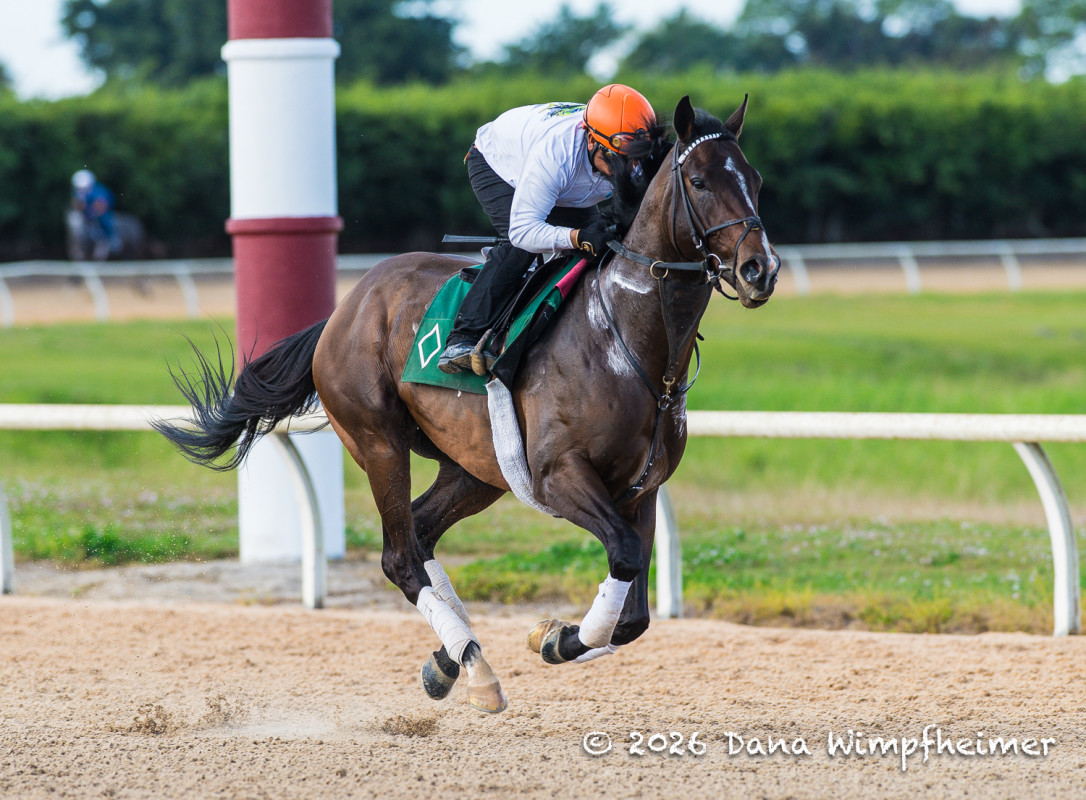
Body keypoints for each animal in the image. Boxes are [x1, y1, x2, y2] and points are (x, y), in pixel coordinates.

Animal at [154, 95, 779, 714]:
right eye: (698, 181)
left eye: (755, 180)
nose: (761, 269)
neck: (629, 342)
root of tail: (344, 308)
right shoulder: (558, 475)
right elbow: (623, 558)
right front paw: (556, 638)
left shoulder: (641, 489)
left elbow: (635, 617)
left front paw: (555, 635)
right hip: (379, 441)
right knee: (400, 556)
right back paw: (475, 666)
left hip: (477, 467)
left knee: (421, 531)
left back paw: (452, 659)